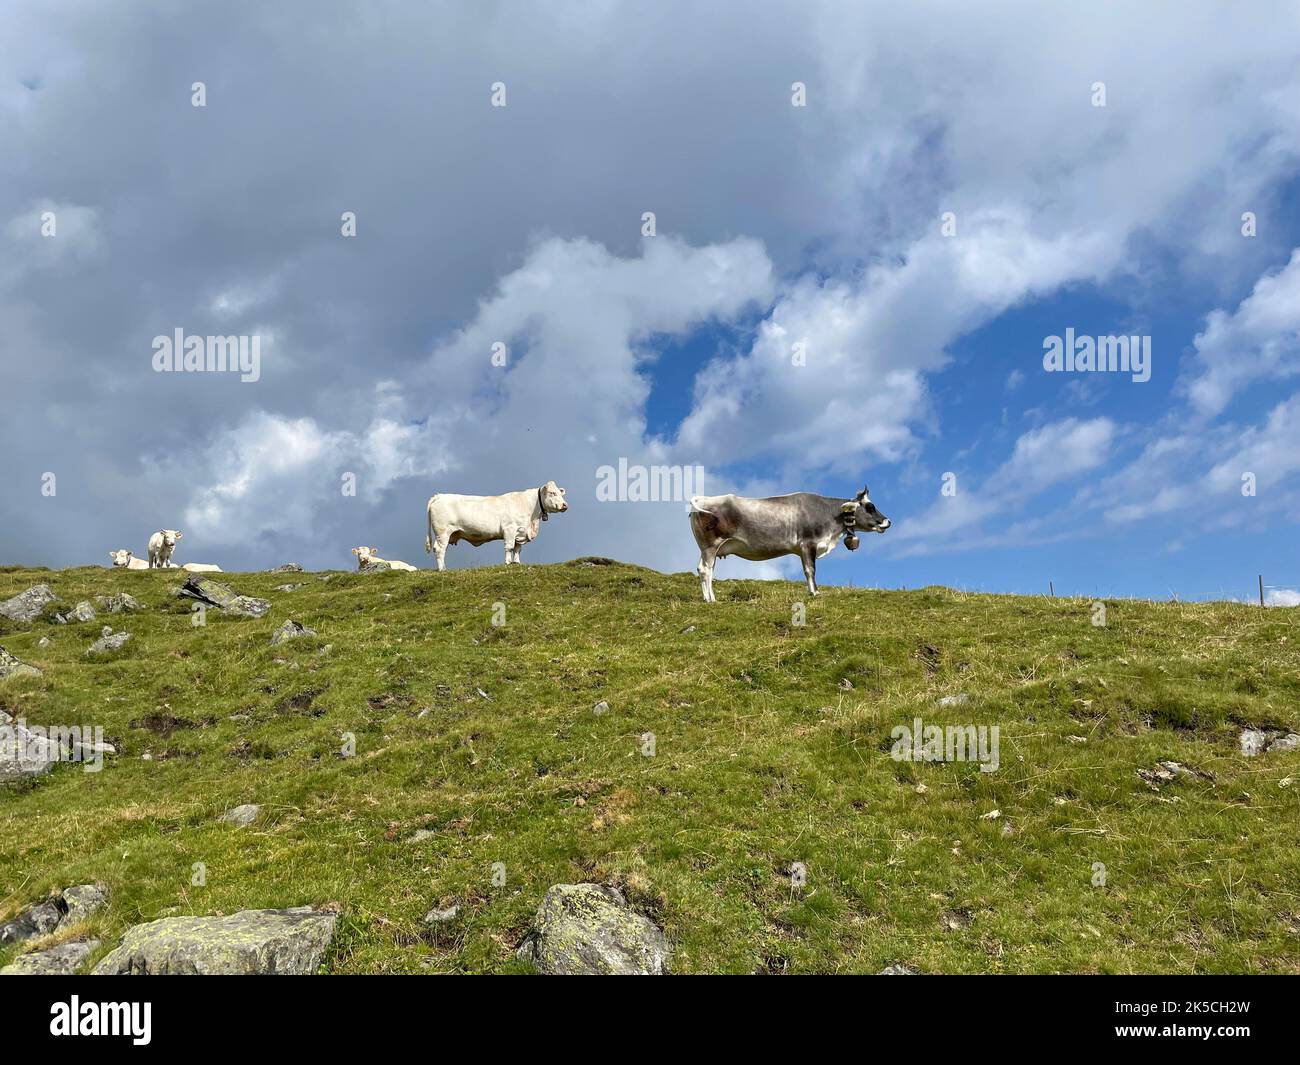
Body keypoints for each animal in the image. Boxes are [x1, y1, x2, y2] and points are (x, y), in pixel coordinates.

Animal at [425, 481, 568, 570]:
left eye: (560, 493)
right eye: (552, 493)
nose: (565, 505)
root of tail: (439, 496)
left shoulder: (520, 531)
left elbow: (518, 549)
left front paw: (517, 563)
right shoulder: (510, 529)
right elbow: (509, 547)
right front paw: (508, 562)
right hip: (442, 532)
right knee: (439, 549)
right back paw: (442, 569)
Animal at [688, 486, 890, 602]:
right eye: (870, 507)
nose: (887, 521)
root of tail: (703, 499)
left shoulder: (802, 549)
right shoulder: (808, 544)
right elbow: (810, 570)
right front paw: (815, 593)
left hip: (708, 549)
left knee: (704, 569)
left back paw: (708, 597)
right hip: (711, 546)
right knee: (705, 570)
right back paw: (711, 600)